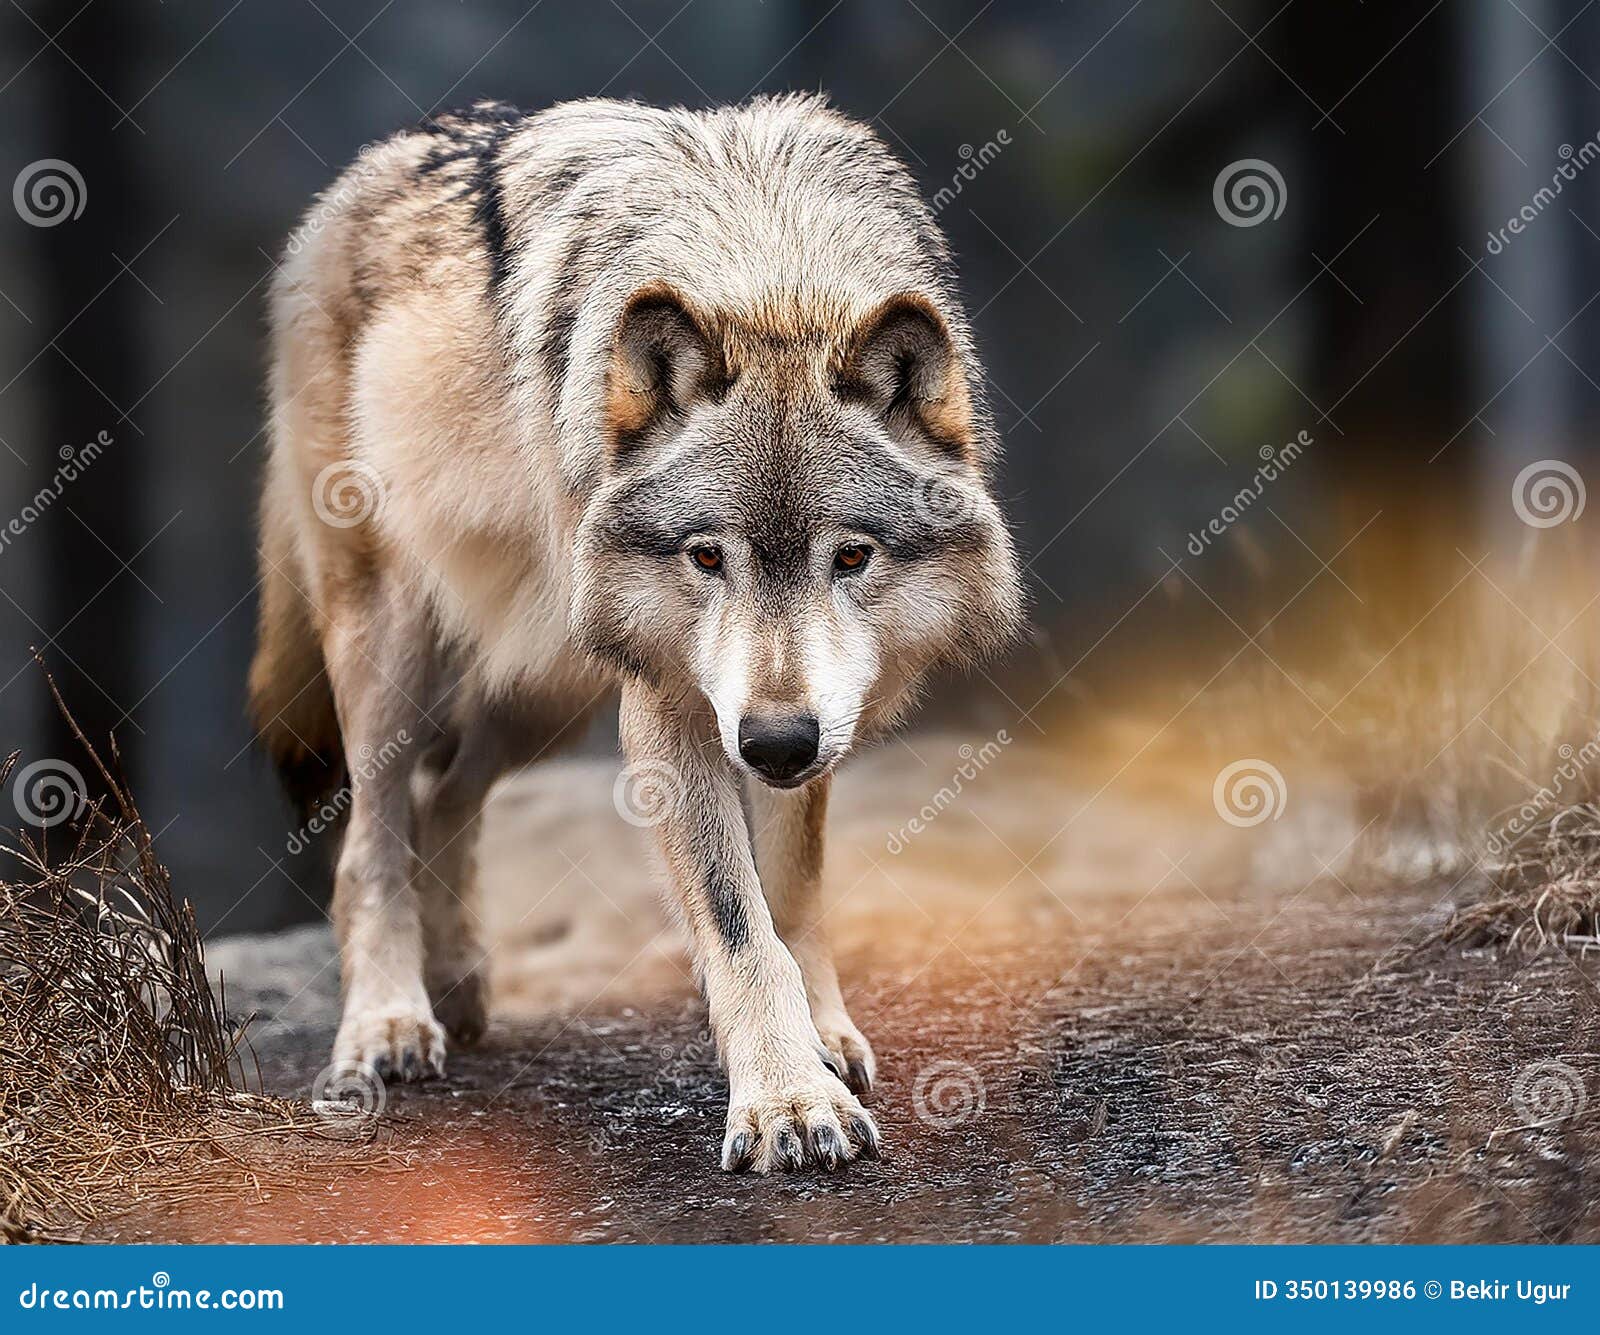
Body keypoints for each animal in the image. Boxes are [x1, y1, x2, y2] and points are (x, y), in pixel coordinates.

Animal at [250, 94, 1023, 1174]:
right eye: (706, 556)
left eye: (851, 556)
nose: (773, 743)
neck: (769, 274)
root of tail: (348, 185)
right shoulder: (674, 714)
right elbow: (739, 925)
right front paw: (787, 1104)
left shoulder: (797, 720)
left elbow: (795, 893)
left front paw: (821, 1042)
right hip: (395, 646)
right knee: (371, 835)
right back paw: (389, 1022)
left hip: (552, 683)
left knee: (446, 797)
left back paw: (459, 982)